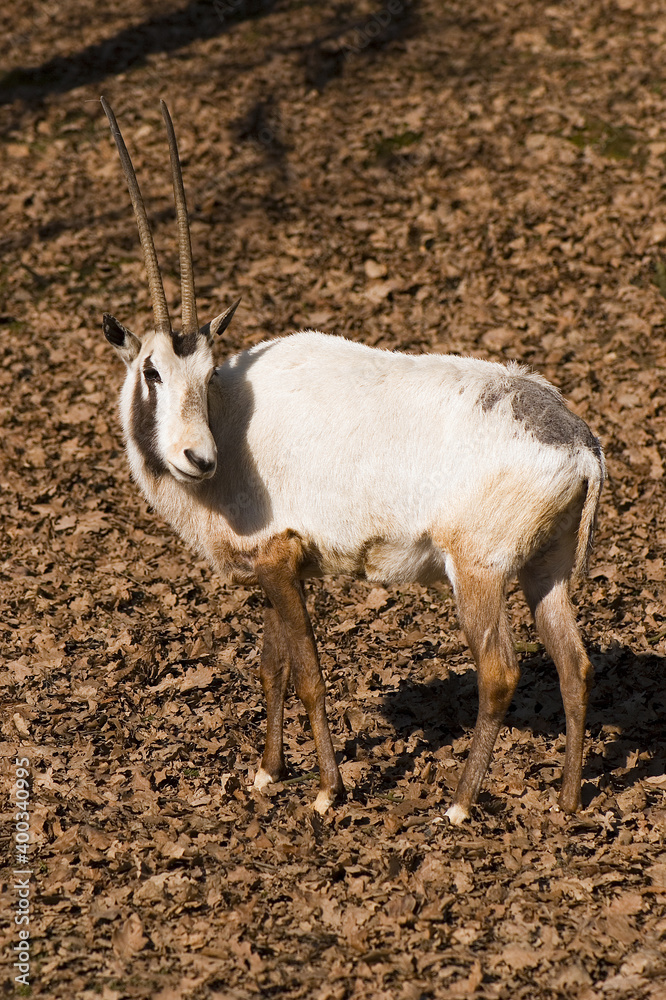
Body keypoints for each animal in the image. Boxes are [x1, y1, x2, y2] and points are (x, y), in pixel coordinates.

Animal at [100, 98, 605, 823]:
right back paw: (566, 800)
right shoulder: (279, 568)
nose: (198, 457)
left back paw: (459, 805)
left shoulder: (279, 560)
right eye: (152, 371)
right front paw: (268, 771)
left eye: (202, 370)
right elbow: (272, 666)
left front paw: (326, 791)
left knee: (500, 670)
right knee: (573, 663)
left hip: (479, 572)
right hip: (548, 569)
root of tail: (580, 443)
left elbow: (309, 675)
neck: (232, 415)